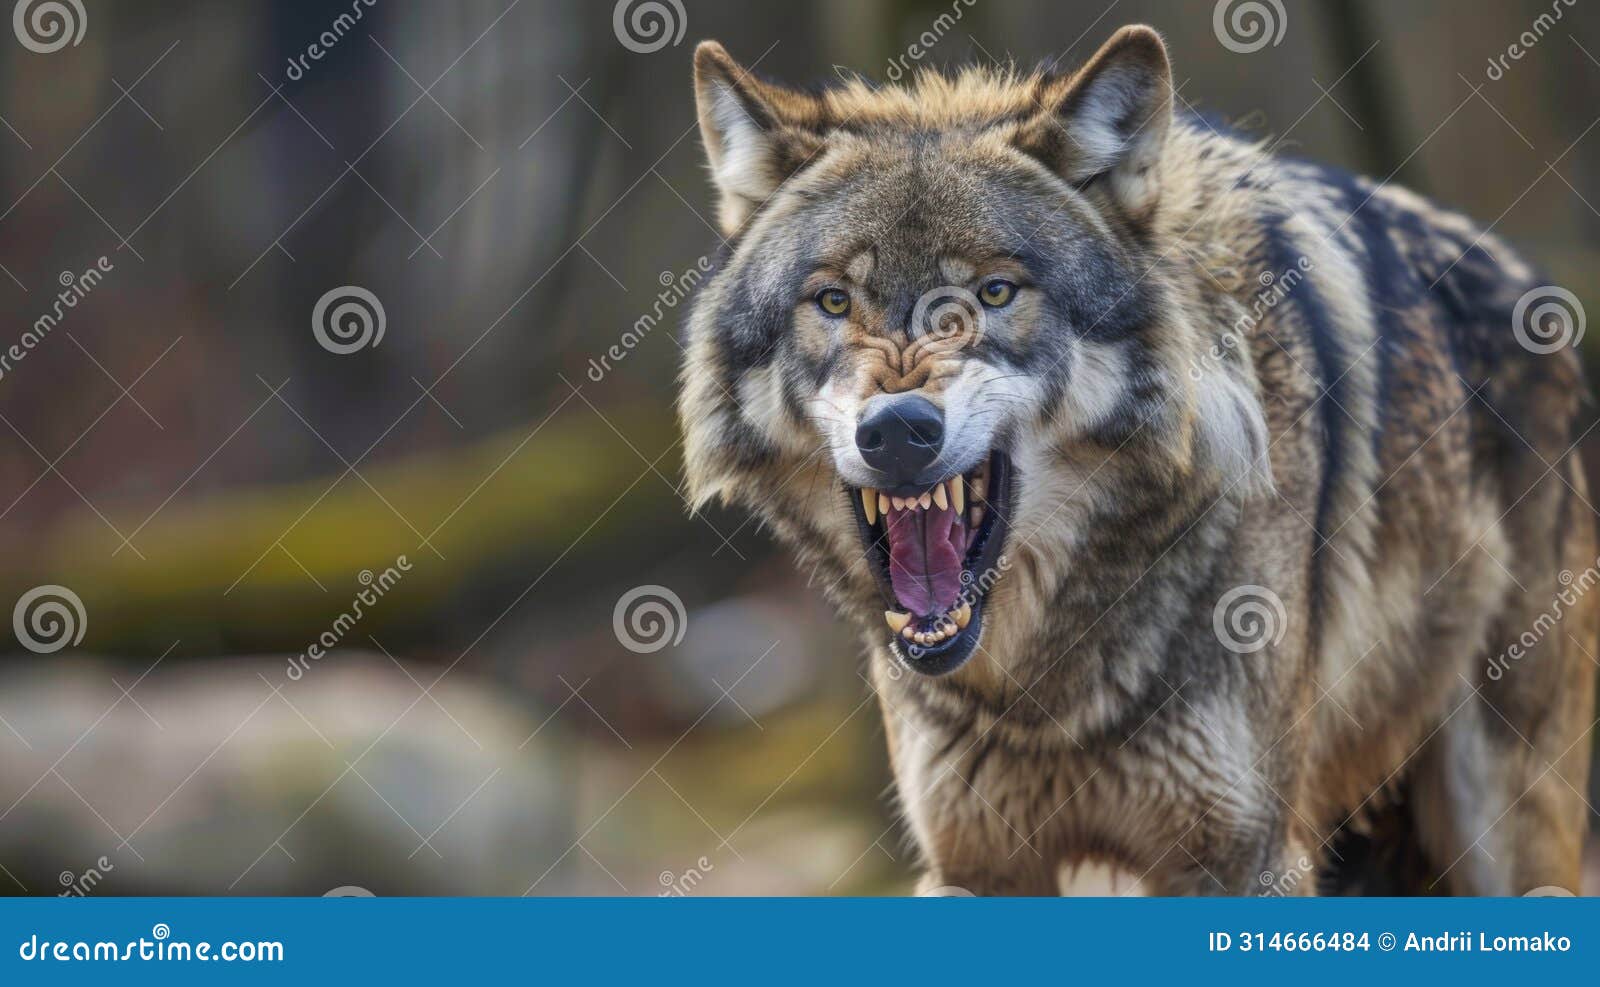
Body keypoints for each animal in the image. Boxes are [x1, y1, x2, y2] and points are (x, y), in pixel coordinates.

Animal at [676, 25, 1596, 895]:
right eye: (833, 300)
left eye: (994, 294)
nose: (898, 431)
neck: (1041, 698)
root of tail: (1534, 286)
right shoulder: (975, 863)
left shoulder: (1246, 859)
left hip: (1505, 824)